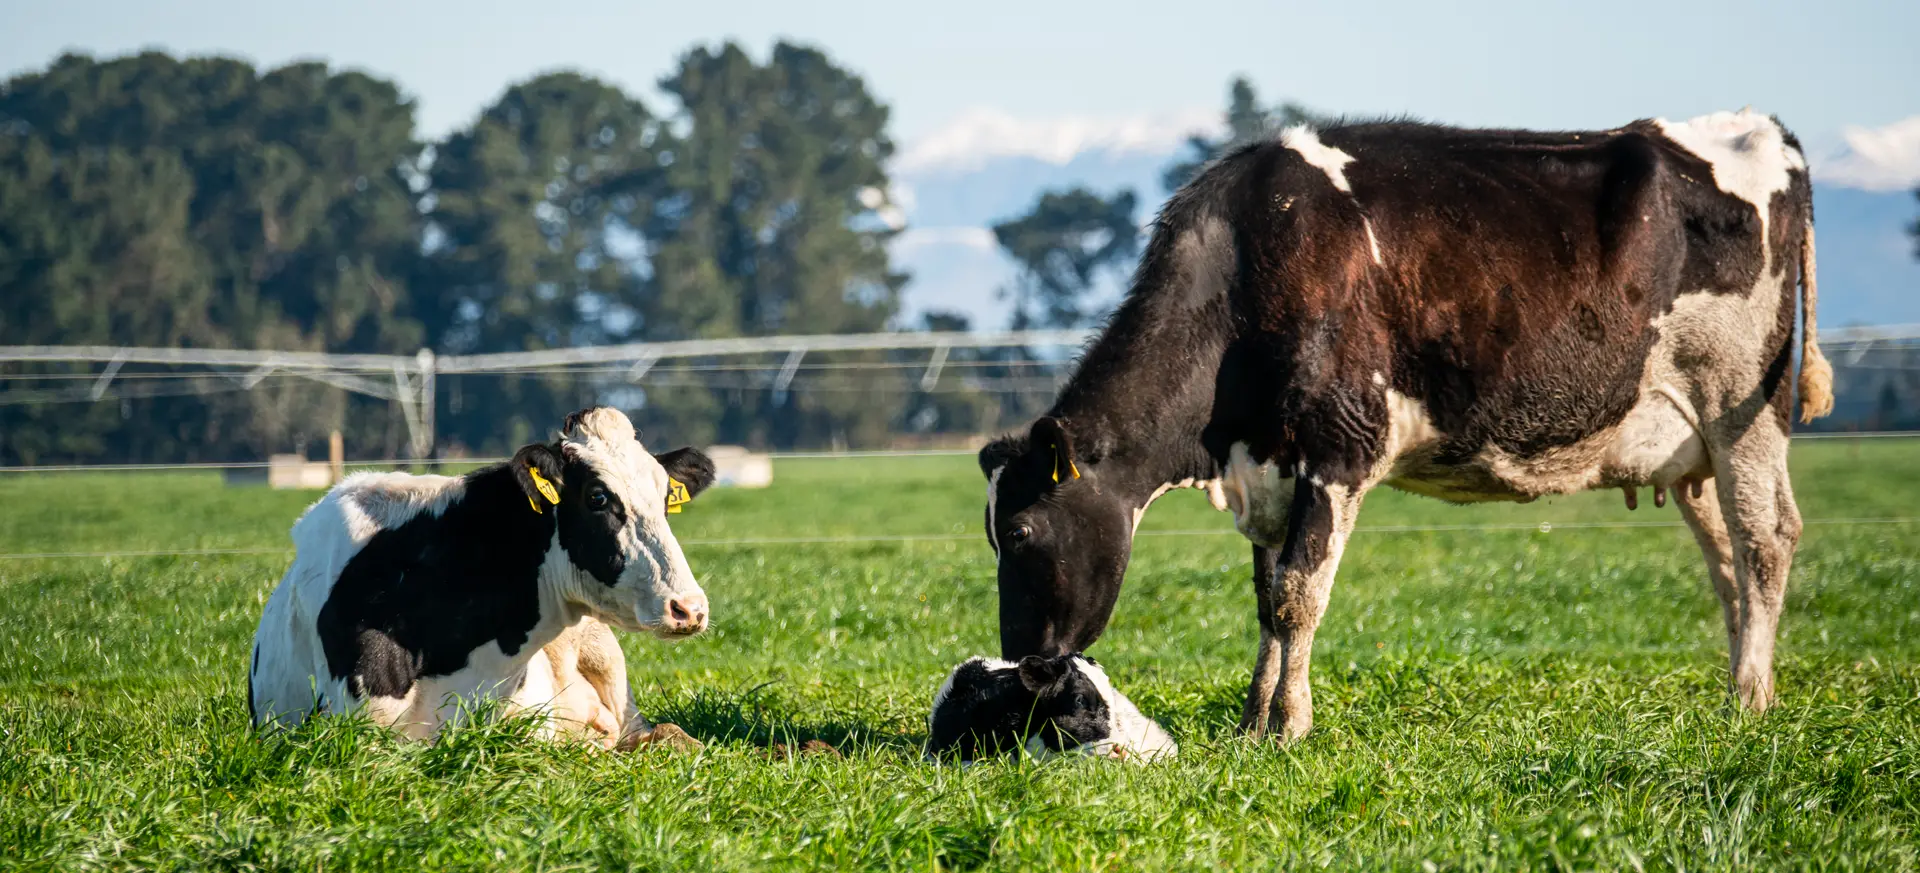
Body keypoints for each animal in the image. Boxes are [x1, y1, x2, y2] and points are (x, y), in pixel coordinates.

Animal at [978, 108, 1834, 742]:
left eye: (1018, 532)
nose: (1021, 664)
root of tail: (1760, 127)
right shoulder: (1273, 465)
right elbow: (1265, 597)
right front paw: (1253, 721)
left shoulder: (1341, 444)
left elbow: (1297, 594)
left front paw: (1289, 727)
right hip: (1690, 443)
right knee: (1726, 555)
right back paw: (1741, 685)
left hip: (1740, 402)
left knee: (1766, 538)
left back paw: (1748, 697)